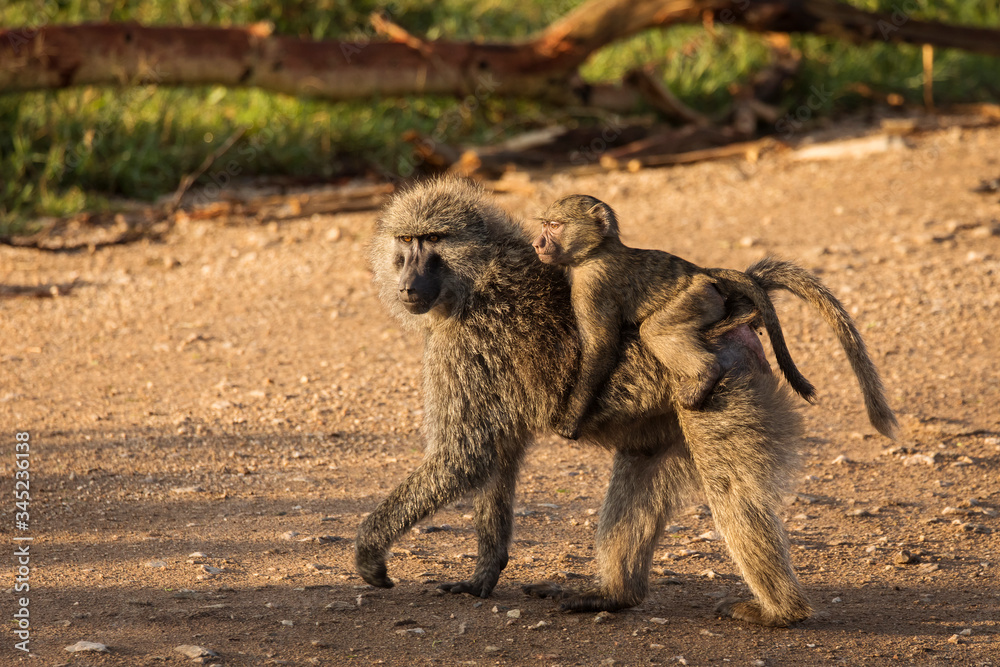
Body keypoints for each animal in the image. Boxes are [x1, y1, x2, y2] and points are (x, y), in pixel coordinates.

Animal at [532, 194, 815, 440]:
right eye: (544, 225)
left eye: (555, 226)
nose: (537, 244)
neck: (597, 250)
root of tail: (704, 274)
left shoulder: (592, 285)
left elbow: (600, 349)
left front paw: (570, 422)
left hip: (694, 300)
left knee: (654, 331)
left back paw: (703, 376)